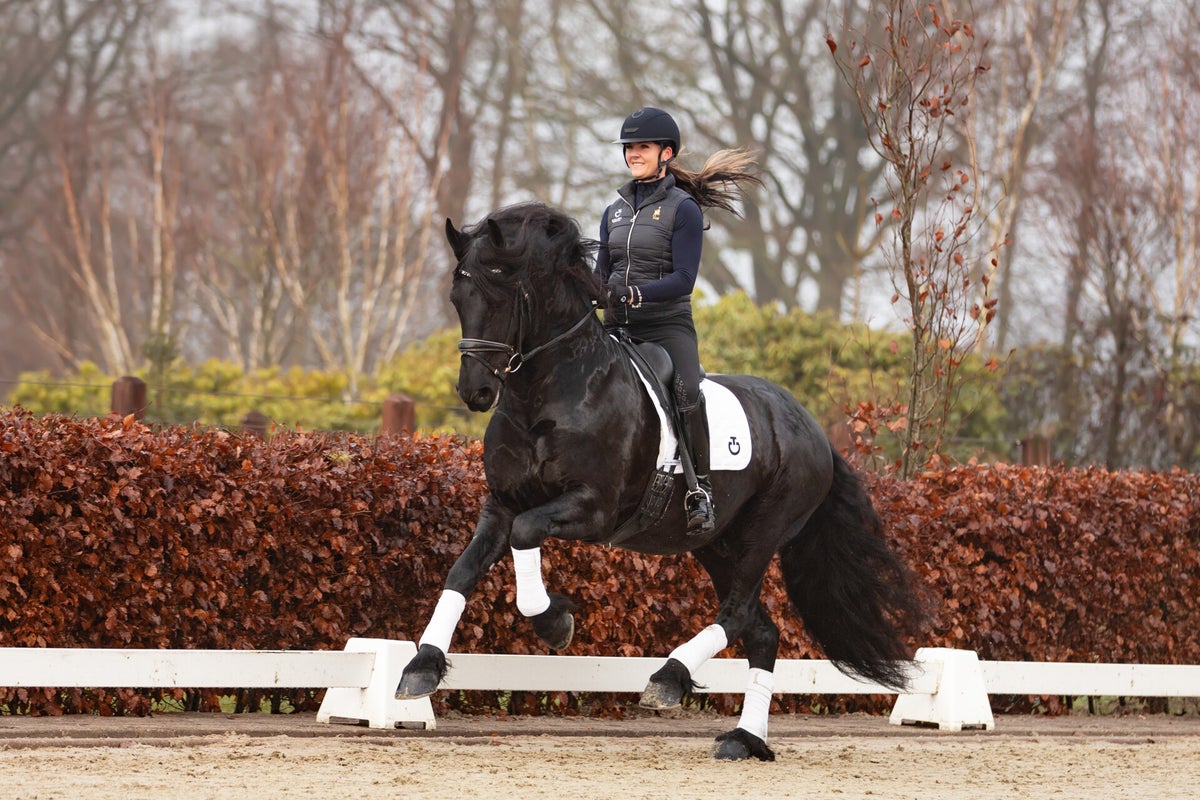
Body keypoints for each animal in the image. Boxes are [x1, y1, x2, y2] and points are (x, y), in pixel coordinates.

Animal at [396, 201, 925, 761]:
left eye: (500, 296)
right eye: (458, 298)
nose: (474, 392)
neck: (548, 391)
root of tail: (814, 430)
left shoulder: (594, 508)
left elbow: (527, 534)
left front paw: (555, 622)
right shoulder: (501, 503)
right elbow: (462, 570)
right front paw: (421, 666)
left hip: (764, 532)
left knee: (738, 614)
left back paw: (669, 678)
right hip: (717, 544)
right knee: (761, 631)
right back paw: (744, 739)